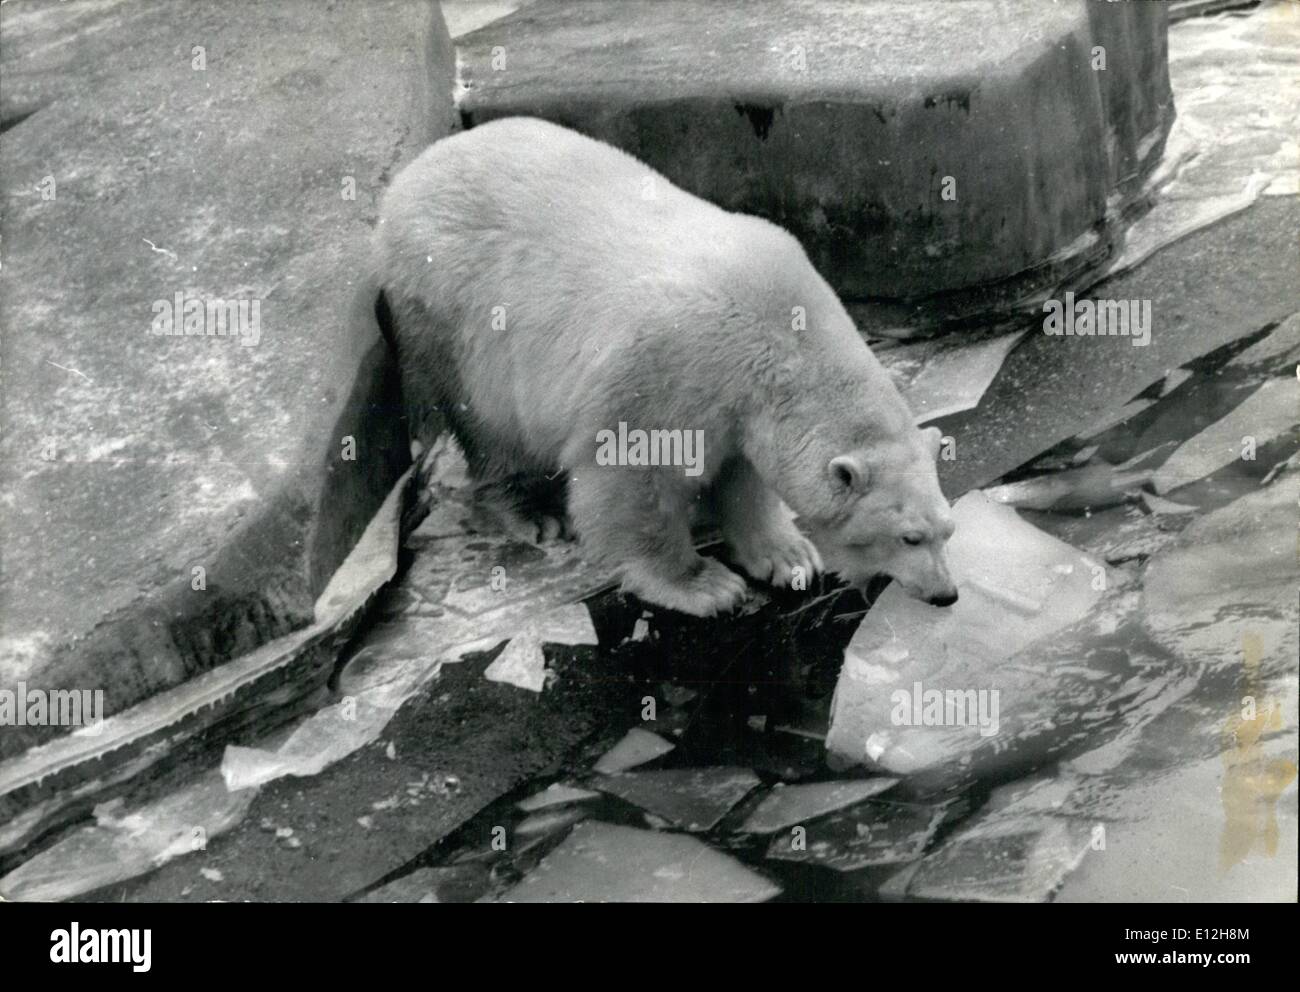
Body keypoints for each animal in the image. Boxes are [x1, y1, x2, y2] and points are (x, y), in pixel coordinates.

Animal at [373, 117, 957, 617]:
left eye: (947, 529)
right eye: (909, 536)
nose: (945, 593)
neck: (781, 335)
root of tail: (411, 175)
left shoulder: (744, 405)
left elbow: (744, 474)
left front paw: (788, 557)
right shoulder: (665, 371)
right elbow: (632, 480)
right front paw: (704, 585)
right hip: (451, 313)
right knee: (488, 424)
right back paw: (532, 512)